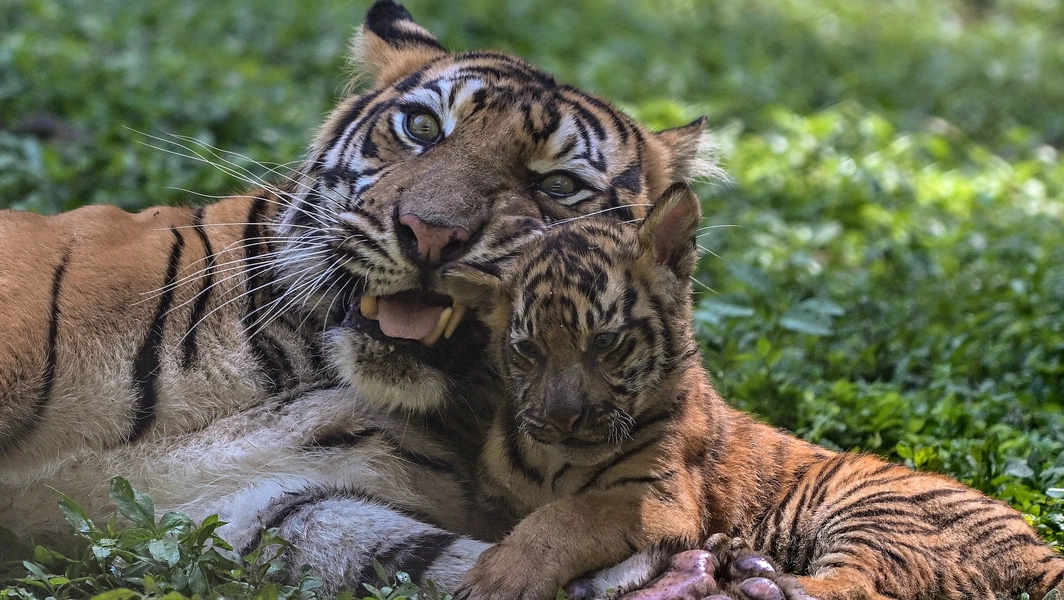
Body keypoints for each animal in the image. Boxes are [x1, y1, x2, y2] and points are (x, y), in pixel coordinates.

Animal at [442, 182, 1064, 600]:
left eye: (607, 342)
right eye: (527, 351)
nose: (564, 418)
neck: (554, 462)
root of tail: (1038, 547)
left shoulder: (655, 500)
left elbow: (564, 518)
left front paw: (497, 579)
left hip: (879, 517)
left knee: (862, 585)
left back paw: (762, 580)